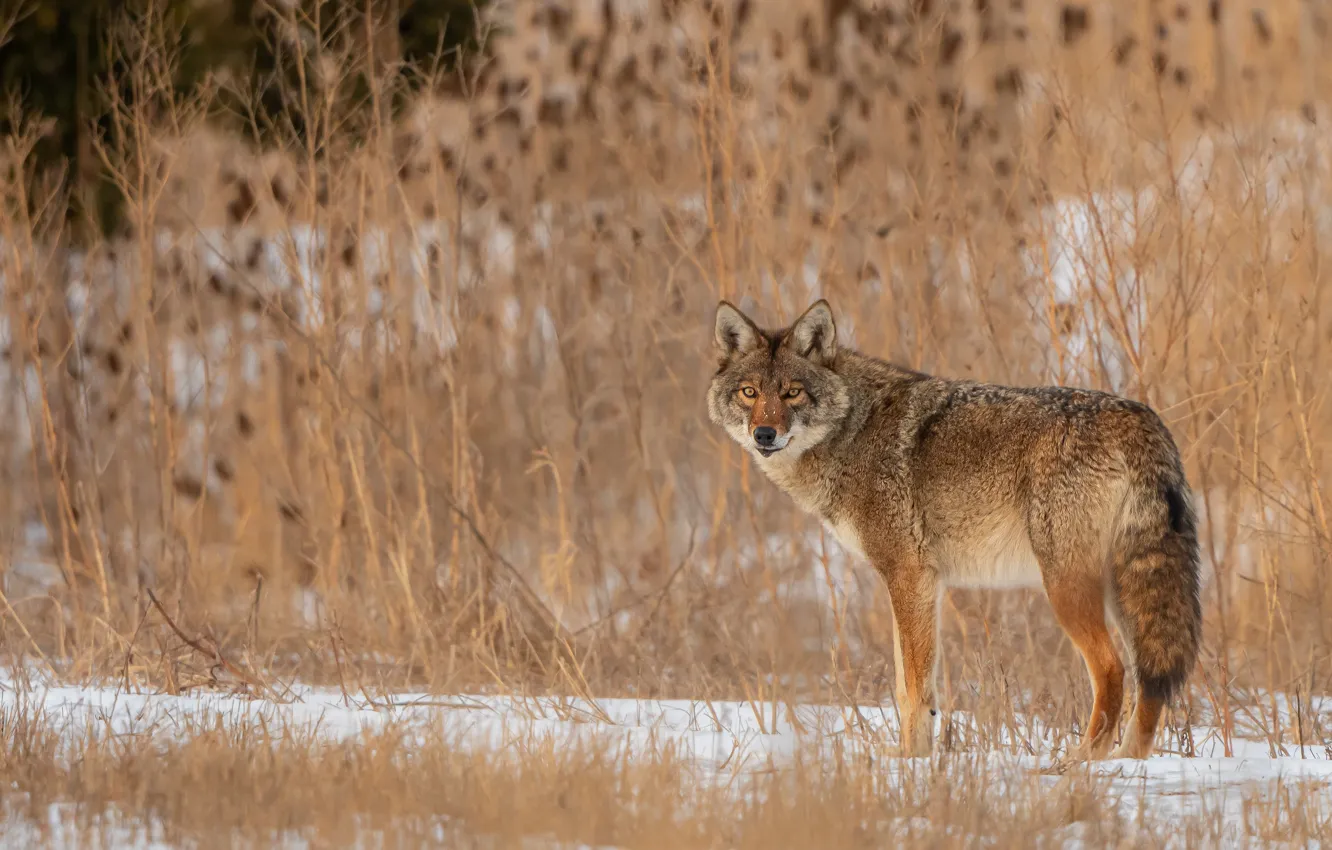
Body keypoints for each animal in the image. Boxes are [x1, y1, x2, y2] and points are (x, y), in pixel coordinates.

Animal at [706, 298, 1202, 760]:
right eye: (750, 392)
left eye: (792, 393)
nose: (764, 434)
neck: (852, 429)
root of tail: (1140, 418)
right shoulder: (918, 584)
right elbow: (909, 685)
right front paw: (913, 758)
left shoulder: (908, 576)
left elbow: (914, 687)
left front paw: (912, 761)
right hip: (1122, 589)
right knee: (1148, 682)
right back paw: (1126, 762)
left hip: (1067, 587)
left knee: (1112, 671)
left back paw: (1079, 764)